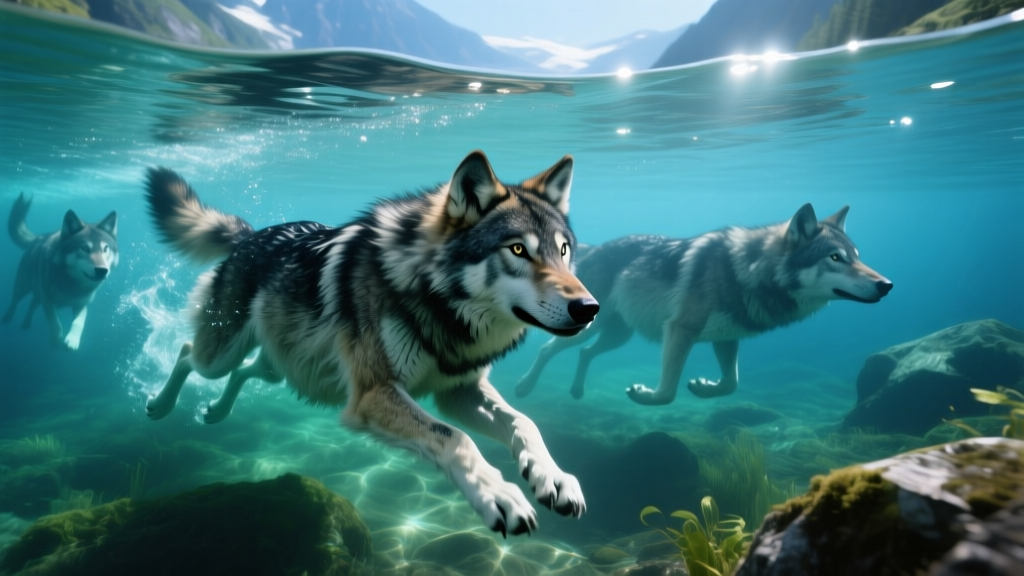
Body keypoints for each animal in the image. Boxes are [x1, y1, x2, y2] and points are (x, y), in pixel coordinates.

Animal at [3, 194, 118, 350]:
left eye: (105, 249)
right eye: (84, 248)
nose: (102, 270)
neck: (72, 283)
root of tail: (38, 237)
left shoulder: (81, 304)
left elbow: (79, 322)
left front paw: (72, 341)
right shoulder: (47, 300)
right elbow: (55, 321)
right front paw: (56, 340)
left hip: (37, 293)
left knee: (33, 303)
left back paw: (26, 323)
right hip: (22, 287)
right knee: (15, 301)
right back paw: (7, 317)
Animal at [142, 151, 599, 536]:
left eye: (563, 251)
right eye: (518, 249)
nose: (589, 308)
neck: (437, 303)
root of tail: (251, 235)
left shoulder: (459, 391)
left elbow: (524, 423)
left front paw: (554, 478)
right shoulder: (374, 393)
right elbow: (455, 438)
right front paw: (500, 496)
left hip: (287, 368)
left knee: (245, 371)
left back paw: (217, 411)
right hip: (220, 356)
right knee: (188, 354)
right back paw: (161, 404)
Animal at [515, 203, 892, 405]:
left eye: (857, 256)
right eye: (835, 258)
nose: (887, 285)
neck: (746, 269)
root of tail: (593, 249)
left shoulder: (726, 338)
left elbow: (732, 383)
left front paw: (702, 387)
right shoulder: (680, 331)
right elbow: (667, 393)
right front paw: (644, 394)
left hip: (617, 335)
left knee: (585, 353)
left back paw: (577, 390)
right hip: (588, 327)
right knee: (549, 348)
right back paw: (525, 386)